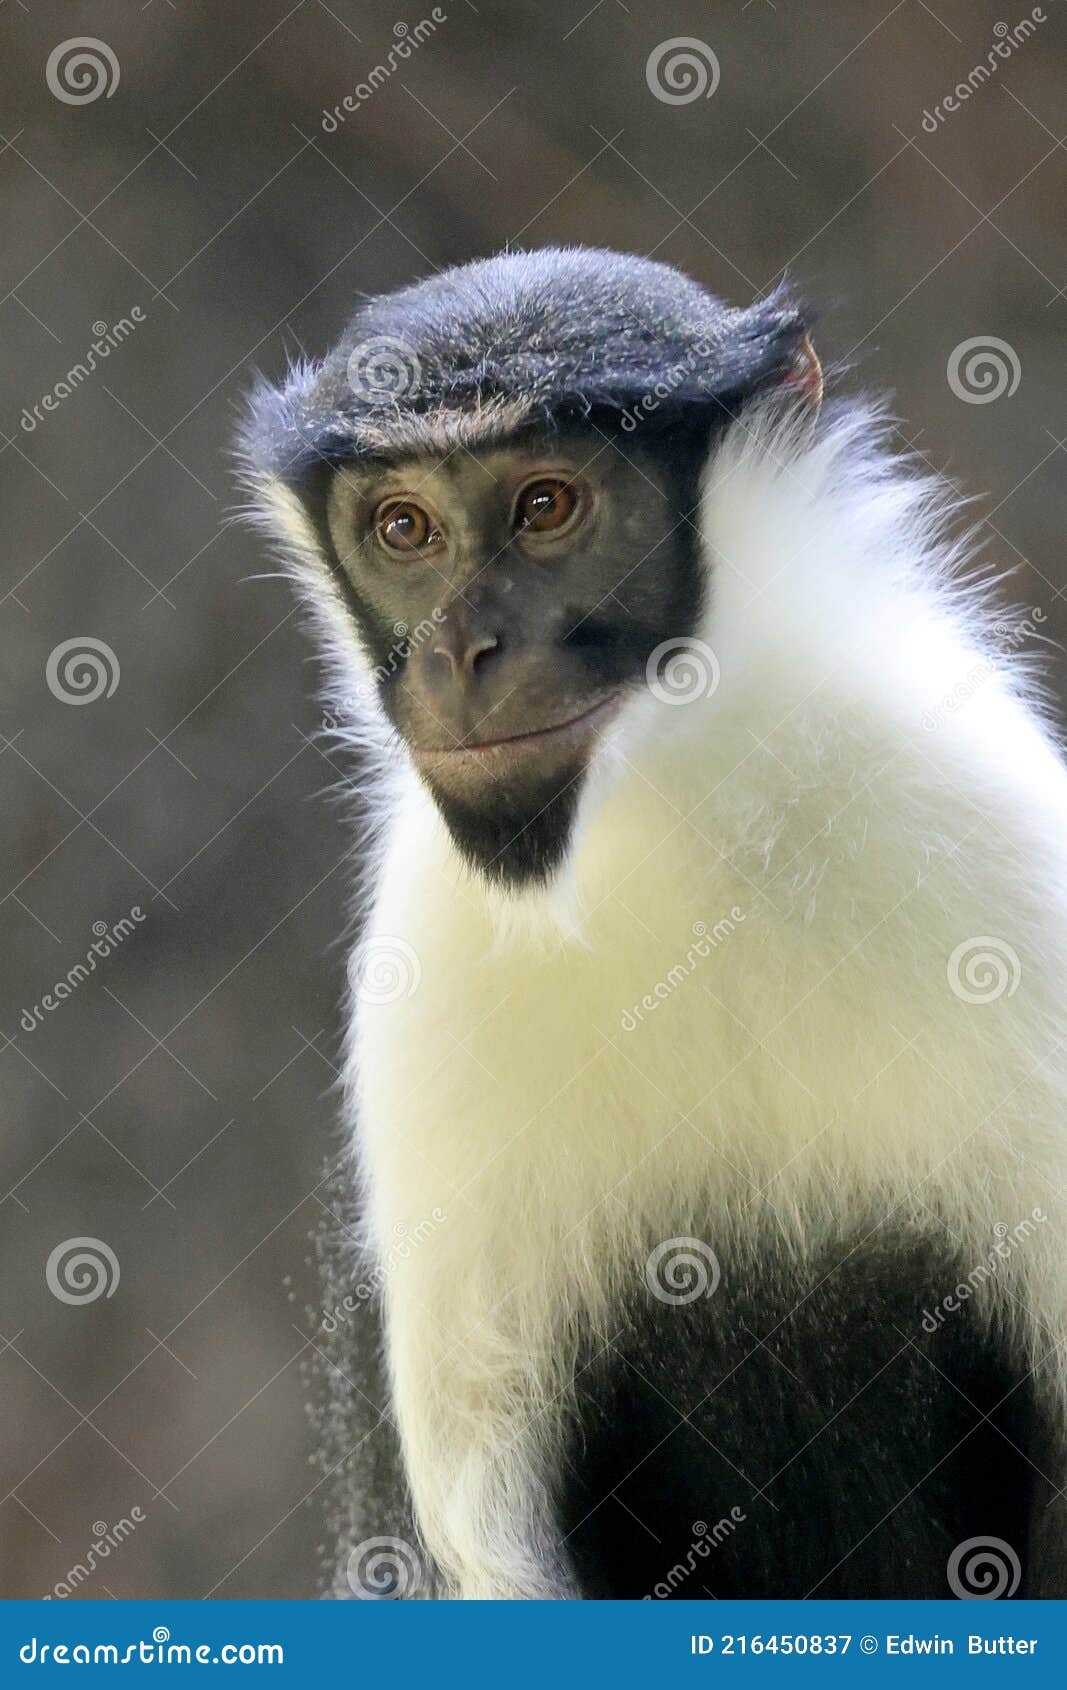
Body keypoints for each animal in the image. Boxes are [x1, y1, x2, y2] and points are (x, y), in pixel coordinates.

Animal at [241, 246, 1067, 1600]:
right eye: (402, 529)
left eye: (544, 505)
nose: (459, 652)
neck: (678, 821)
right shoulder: (428, 955)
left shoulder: (994, 840)